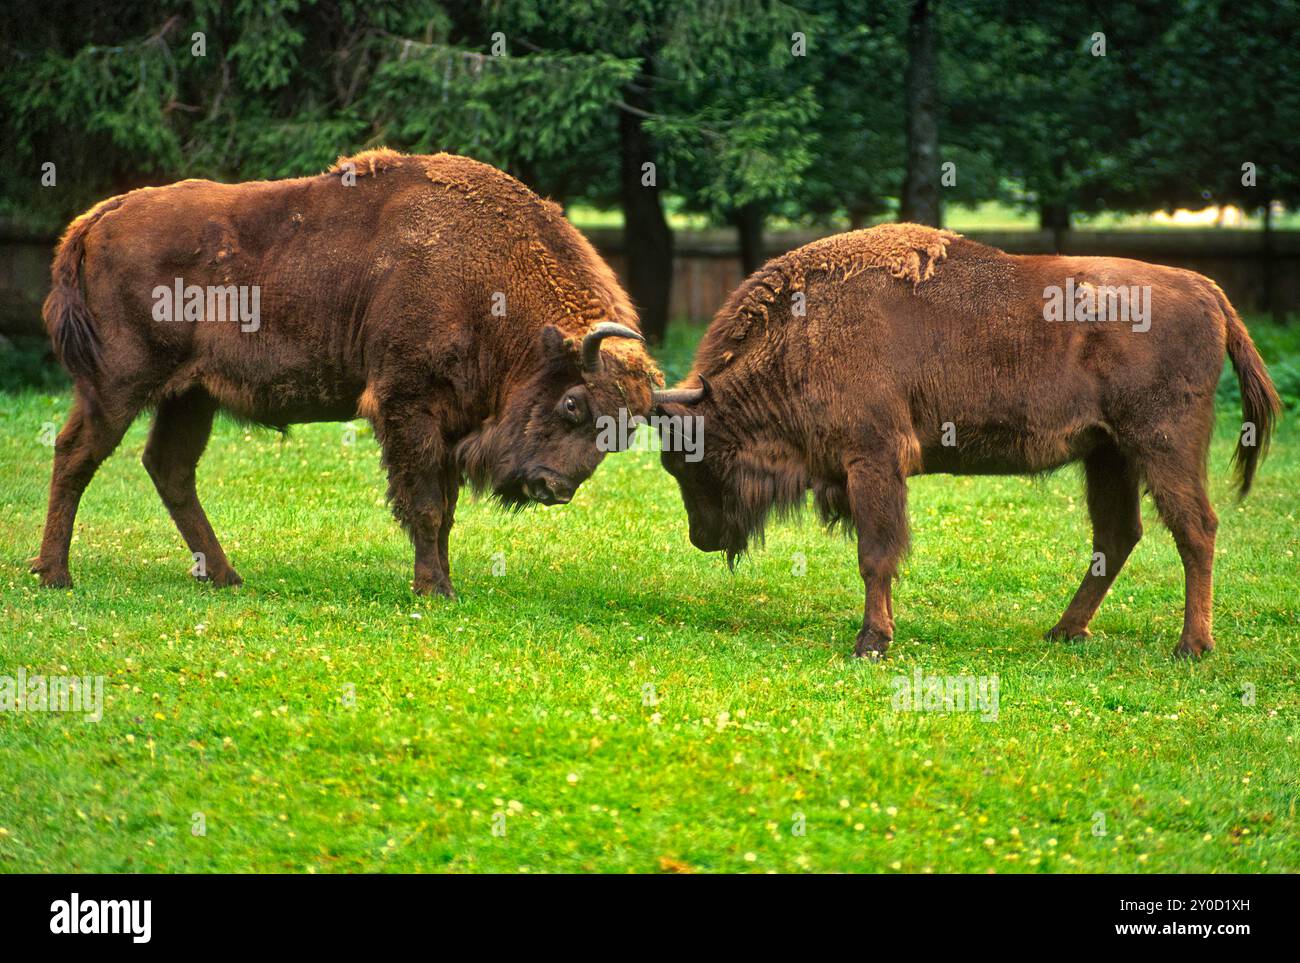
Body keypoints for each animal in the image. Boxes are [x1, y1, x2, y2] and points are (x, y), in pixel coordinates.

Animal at [34, 149, 670, 597]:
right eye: (573, 404)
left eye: (623, 433)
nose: (553, 489)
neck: (487, 276)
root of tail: (101, 216)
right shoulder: (408, 405)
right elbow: (425, 505)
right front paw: (434, 590)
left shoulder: (448, 424)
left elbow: (445, 512)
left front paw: (441, 581)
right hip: (118, 384)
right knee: (76, 454)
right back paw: (56, 575)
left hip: (190, 396)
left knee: (169, 468)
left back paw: (225, 576)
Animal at [658, 224, 1279, 659]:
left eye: (688, 459)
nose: (702, 538)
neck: (804, 329)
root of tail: (1208, 291)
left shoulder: (873, 460)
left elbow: (876, 554)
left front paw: (870, 642)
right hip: (1108, 456)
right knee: (1118, 535)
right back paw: (1064, 631)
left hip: (1161, 446)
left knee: (1196, 530)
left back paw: (1191, 647)